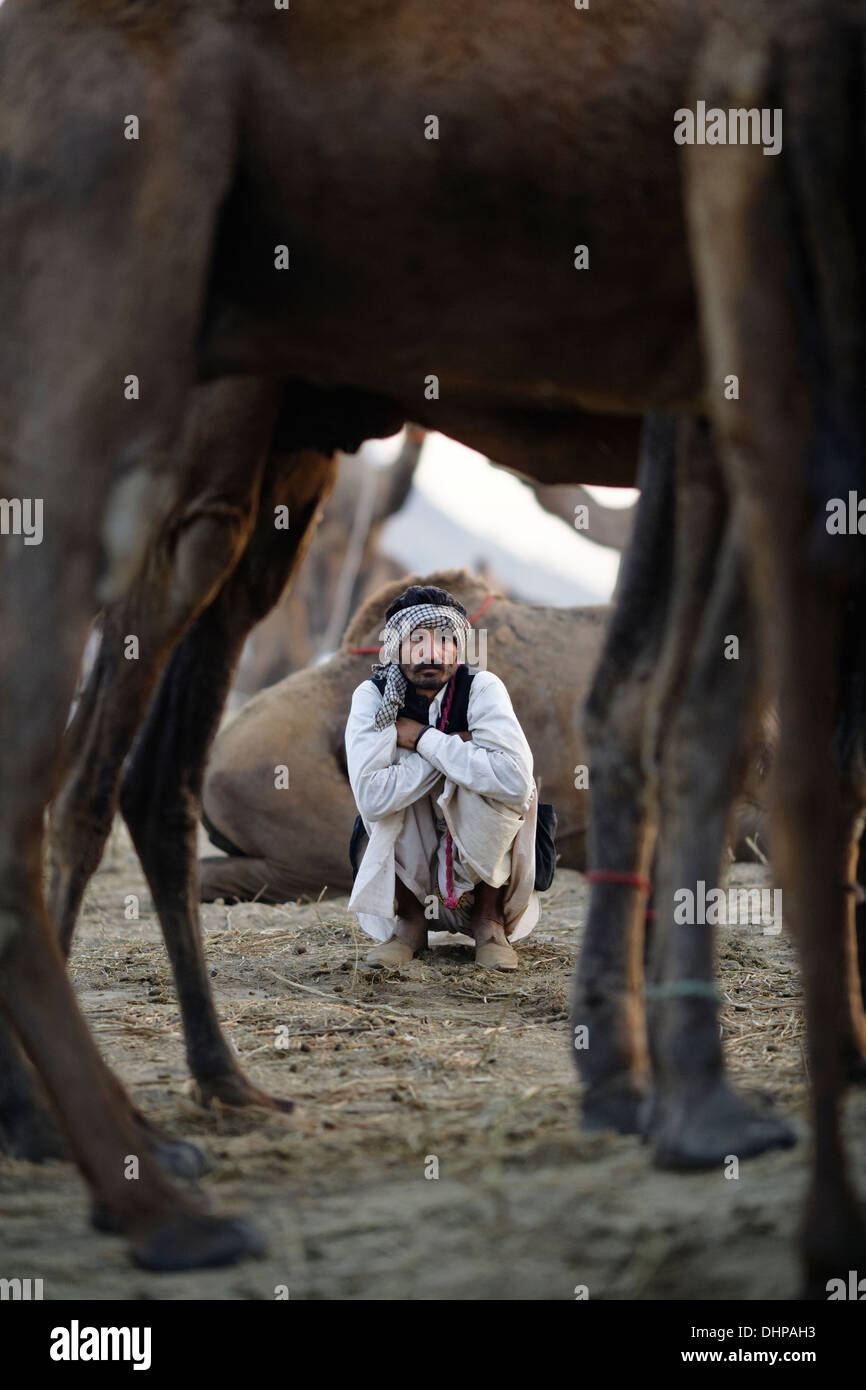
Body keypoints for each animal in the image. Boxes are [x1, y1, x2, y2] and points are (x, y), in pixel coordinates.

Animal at [1, 0, 860, 1287]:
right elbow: (679, 718)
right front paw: (679, 1100)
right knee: (90, 769)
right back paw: (103, 1157)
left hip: (271, 470)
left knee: (147, 771)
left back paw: (199, 1101)